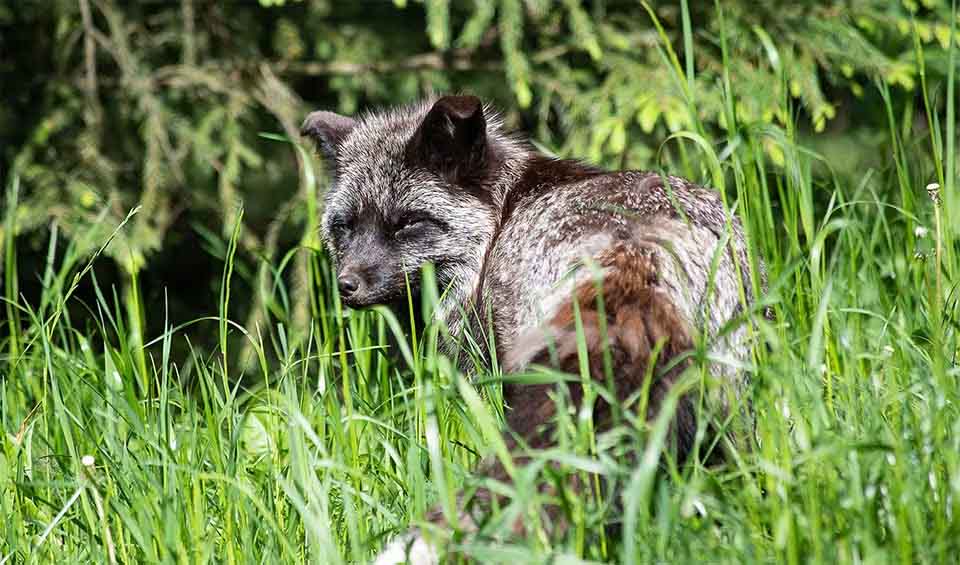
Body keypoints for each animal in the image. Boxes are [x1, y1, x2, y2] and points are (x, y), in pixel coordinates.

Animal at [301, 95, 764, 564]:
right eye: (345, 226)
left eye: (407, 223)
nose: (347, 285)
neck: (501, 219)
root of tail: (638, 250)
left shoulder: (481, 365)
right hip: (728, 407)